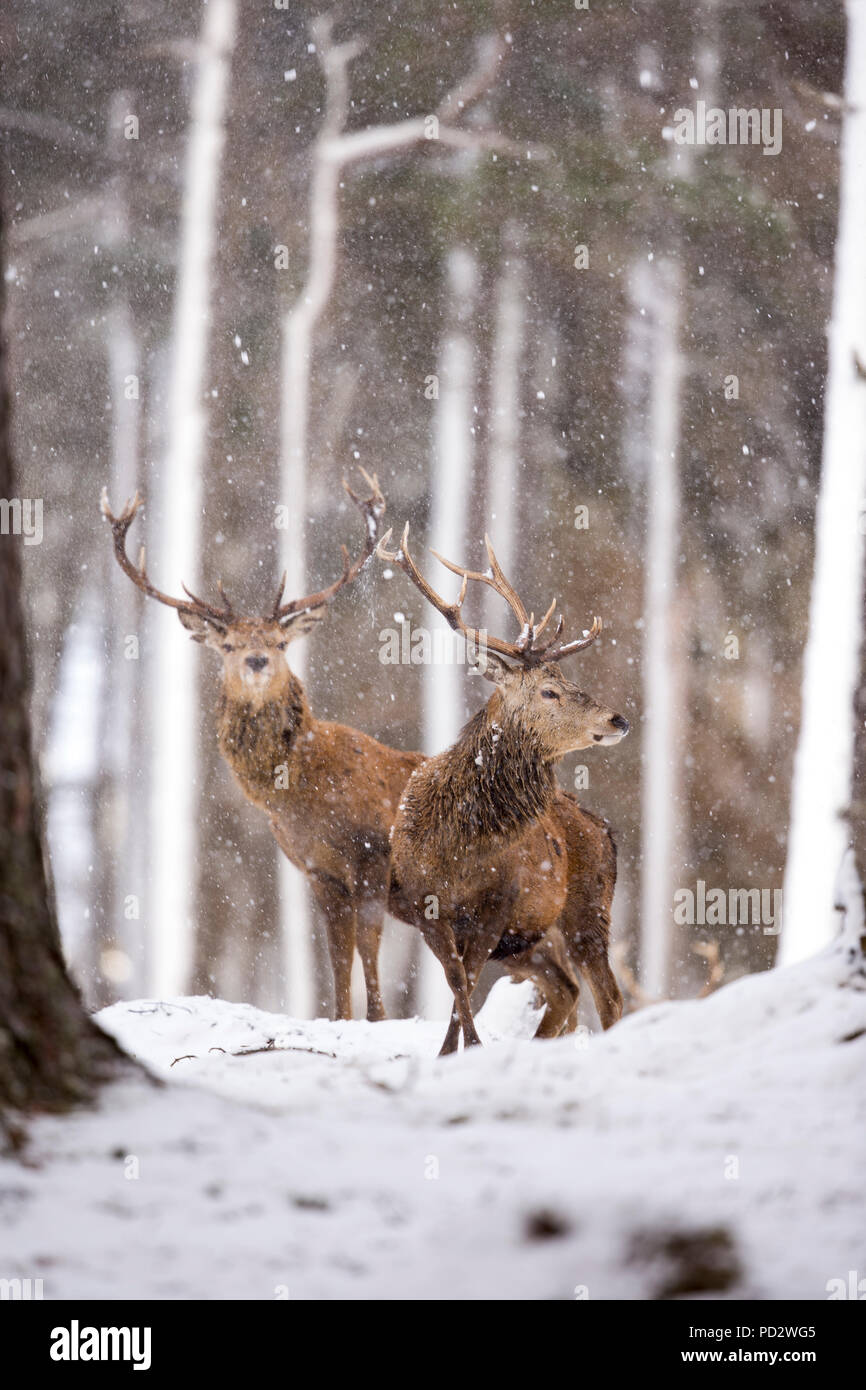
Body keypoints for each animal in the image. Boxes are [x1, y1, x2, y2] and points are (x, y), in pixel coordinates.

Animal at [101, 473, 424, 1023]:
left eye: (280, 642)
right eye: (228, 645)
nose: (256, 660)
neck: (308, 794)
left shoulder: (374, 853)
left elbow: (368, 943)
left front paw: (379, 1020)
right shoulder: (316, 868)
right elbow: (337, 952)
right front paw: (340, 1018)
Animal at [377, 524, 629, 1055]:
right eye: (549, 690)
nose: (619, 719)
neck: (456, 846)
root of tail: (605, 829)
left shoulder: (497, 906)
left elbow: (466, 982)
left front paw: (467, 1050)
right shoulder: (426, 907)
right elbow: (456, 980)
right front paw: (450, 1053)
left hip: (588, 909)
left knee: (607, 995)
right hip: (532, 938)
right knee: (567, 988)